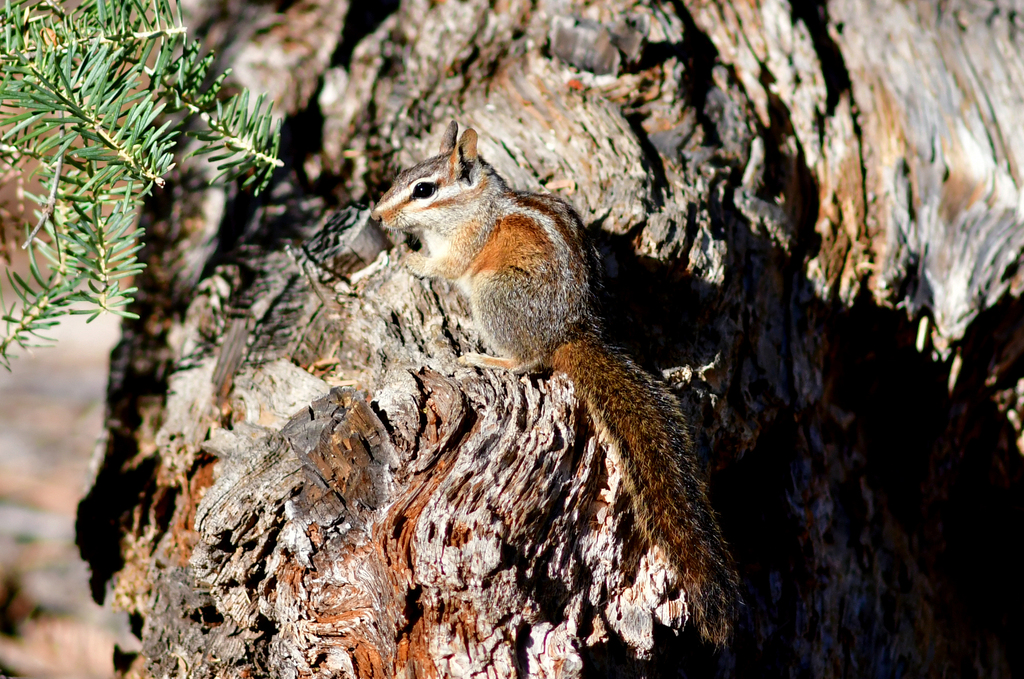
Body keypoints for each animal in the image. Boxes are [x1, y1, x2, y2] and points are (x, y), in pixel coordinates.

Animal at [370, 121, 740, 645]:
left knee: (530, 361)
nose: (377, 213)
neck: (478, 204)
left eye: (424, 190)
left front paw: (410, 259)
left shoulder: (464, 245)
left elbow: (443, 267)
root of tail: (569, 333)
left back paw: (486, 355)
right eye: (402, 175)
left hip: (493, 295)